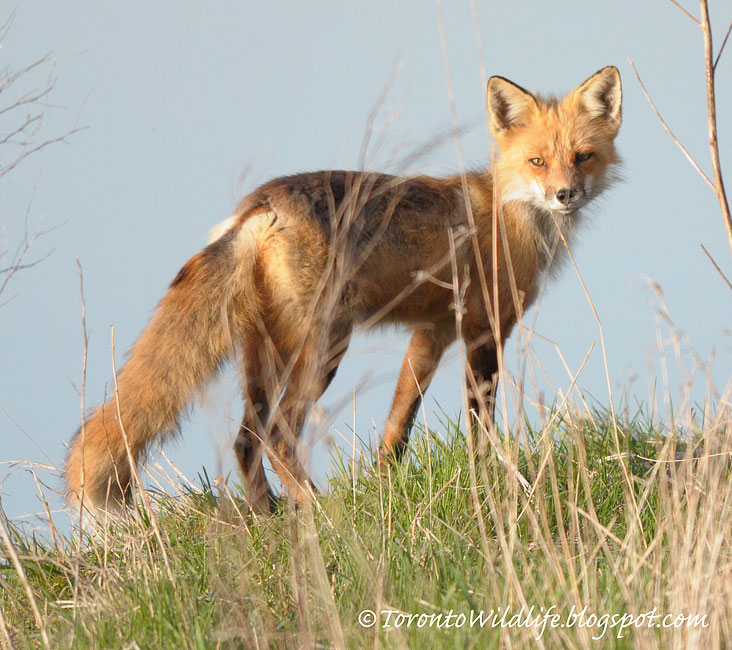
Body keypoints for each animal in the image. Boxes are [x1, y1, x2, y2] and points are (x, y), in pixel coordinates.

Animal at [65, 66, 622, 515]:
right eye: (537, 162)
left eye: (583, 157)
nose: (566, 194)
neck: (510, 215)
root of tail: (260, 206)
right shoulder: (484, 328)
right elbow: (479, 429)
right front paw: (486, 483)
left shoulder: (432, 332)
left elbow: (397, 427)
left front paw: (386, 489)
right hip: (324, 345)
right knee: (278, 434)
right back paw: (319, 509)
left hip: (267, 353)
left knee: (246, 440)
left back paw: (270, 517)